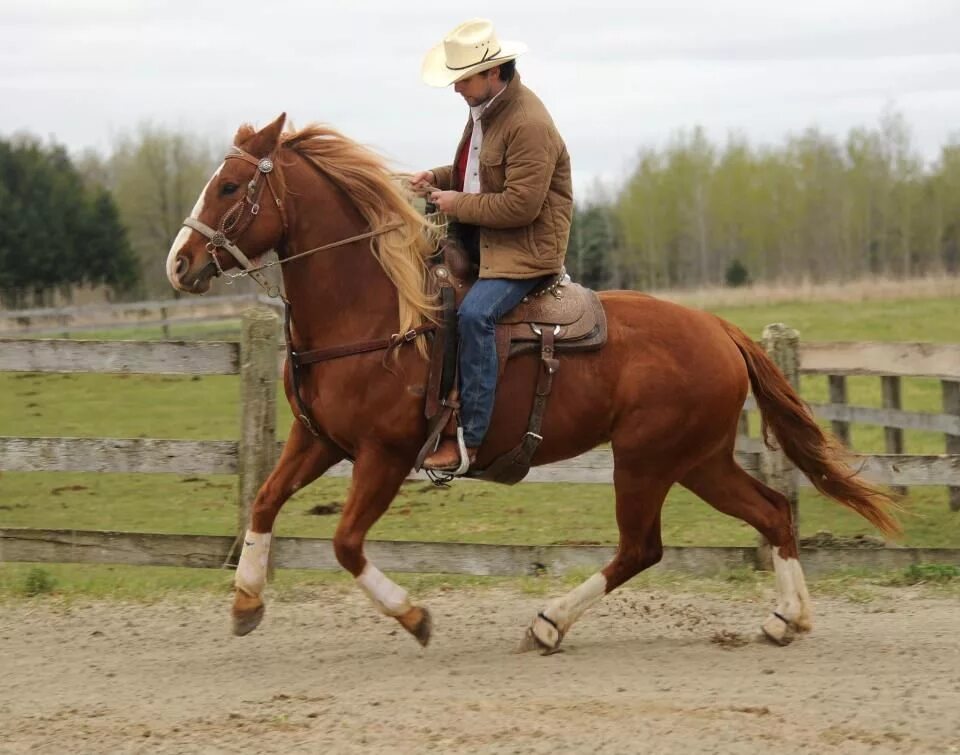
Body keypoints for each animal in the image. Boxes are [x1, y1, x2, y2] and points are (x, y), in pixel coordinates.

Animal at [167, 113, 900, 656]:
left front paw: (415, 616)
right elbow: (264, 501)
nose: (179, 263)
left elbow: (346, 542)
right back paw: (786, 619)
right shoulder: (318, 440)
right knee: (770, 513)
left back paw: (549, 623)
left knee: (642, 547)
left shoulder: (385, 454)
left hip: (647, 460)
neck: (379, 312)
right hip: (699, 460)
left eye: (229, 186)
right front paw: (245, 600)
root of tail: (719, 328)